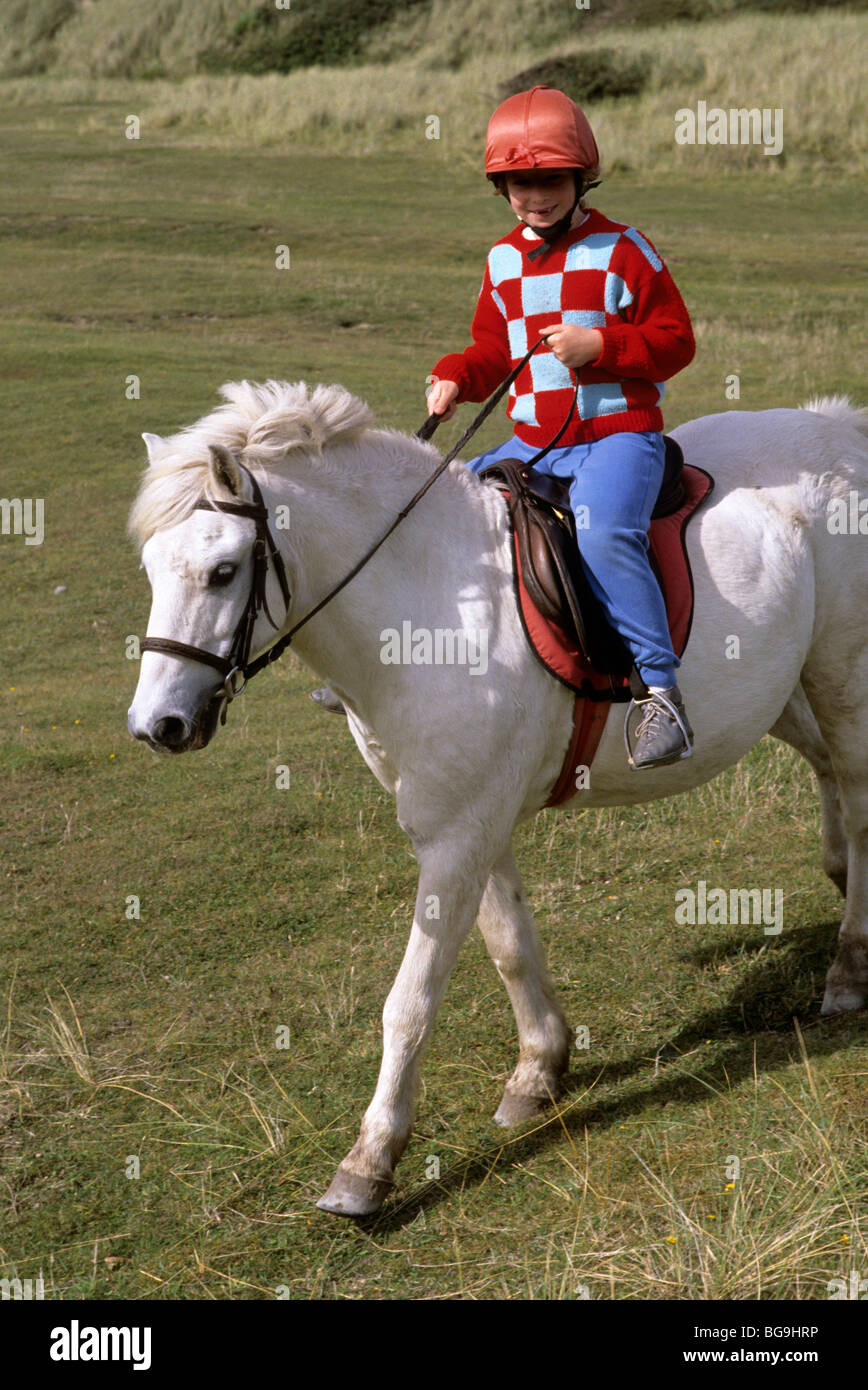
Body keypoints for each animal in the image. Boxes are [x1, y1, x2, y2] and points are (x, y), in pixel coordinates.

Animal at [127, 380, 868, 1217]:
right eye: (151, 568)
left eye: (223, 571)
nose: (157, 724)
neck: (427, 606)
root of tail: (839, 429)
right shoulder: (466, 822)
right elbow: (510, 944)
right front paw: (539, 1069)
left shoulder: (457, 835)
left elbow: (411, 1000)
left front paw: (368, 1161)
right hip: (782, 691)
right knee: (829, 771)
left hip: (842, 672)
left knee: (859, 795)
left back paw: (850, 965)